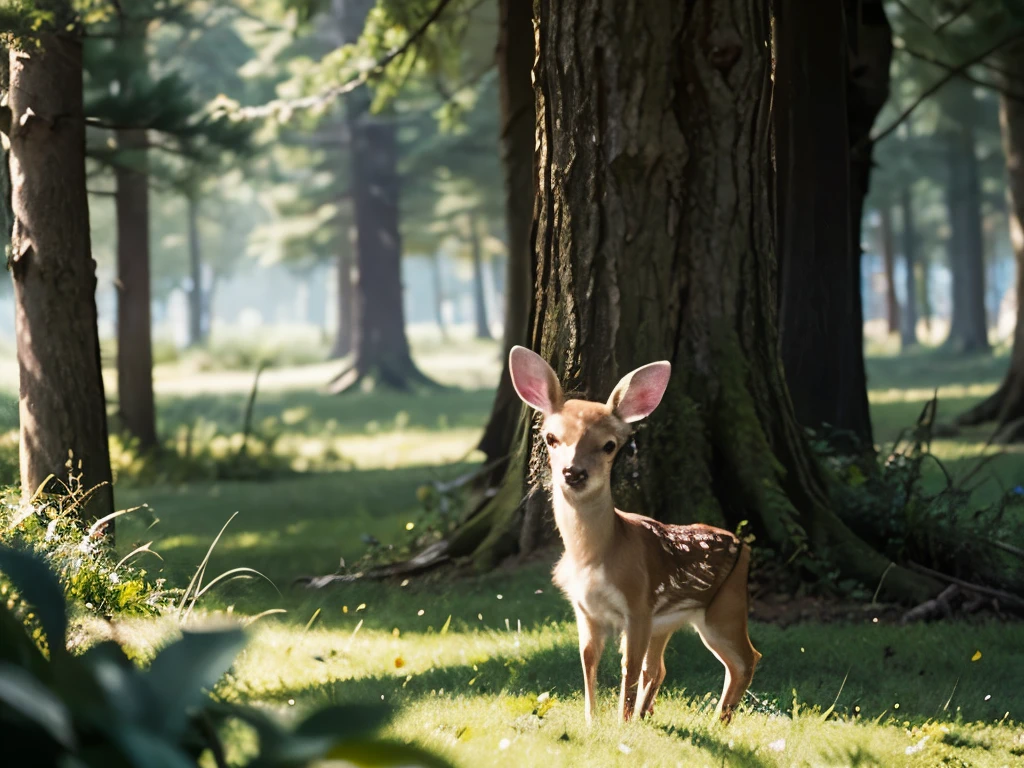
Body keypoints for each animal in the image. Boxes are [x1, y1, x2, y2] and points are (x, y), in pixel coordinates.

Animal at [508, 345, 761, 725]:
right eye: (551, 438)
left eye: (610, 445)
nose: (574, 472)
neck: (594, 556)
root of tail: (743, 546)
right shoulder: (584, 609)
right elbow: (589, 660)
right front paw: (592, 720)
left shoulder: (638, 602)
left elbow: (628, 664)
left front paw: (621, 723)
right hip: (670, 621)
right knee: (660, 668)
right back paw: (652, 714)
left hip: (725, 607)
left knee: (746, 659)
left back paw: (718, 722)